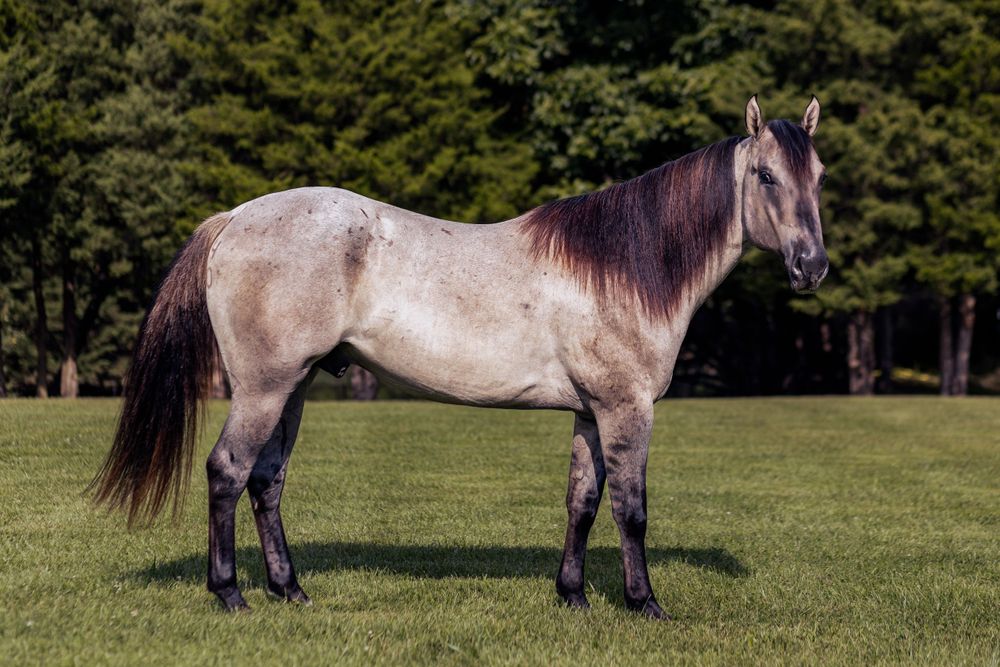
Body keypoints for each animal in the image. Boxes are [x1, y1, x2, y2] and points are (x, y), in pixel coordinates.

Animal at [93, 95, 828, 619]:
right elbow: (631, 508)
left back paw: (290, 590)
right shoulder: (627, 410)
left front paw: (573, 596)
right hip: (263, 388)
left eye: (819, 176)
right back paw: (230, 593)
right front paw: (644, 603)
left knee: (266, 481)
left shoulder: (591, 412)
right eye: (765, 175)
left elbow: (582, 502)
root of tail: (234, 219)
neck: (623, 266)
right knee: (227, 471)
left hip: (291, 389)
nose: (812, 266)